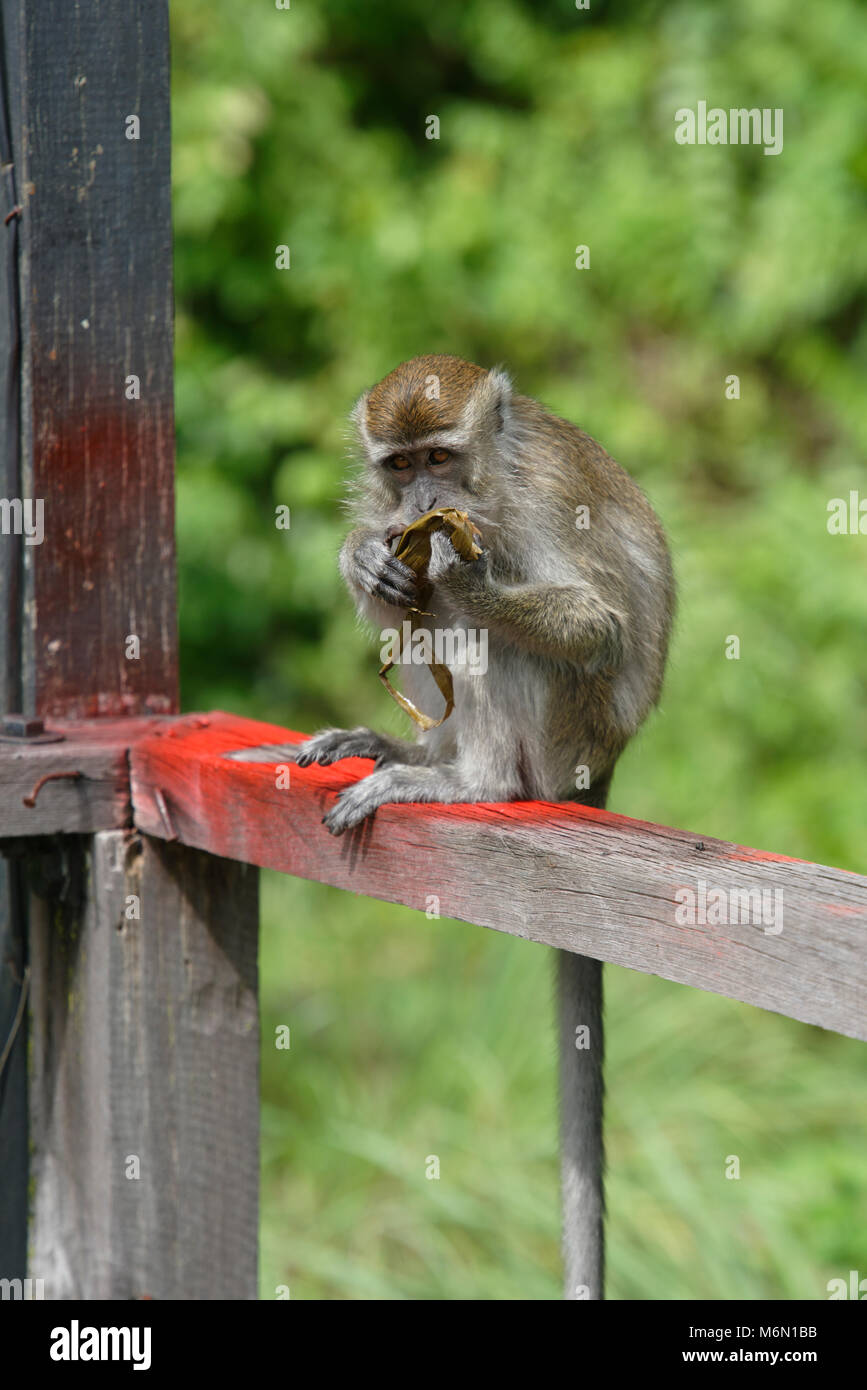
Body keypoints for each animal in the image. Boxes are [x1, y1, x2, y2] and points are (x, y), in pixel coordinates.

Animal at [284, 354, 675, 1298]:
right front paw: (363, 555)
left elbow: (594, 625)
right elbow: (397, 582)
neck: (492, 475)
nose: (421, 497)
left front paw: (466, 575)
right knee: (421, 623)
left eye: (440, 457)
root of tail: (602, 768)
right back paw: (413, 748)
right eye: (398, 466)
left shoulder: (536, 504)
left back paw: (469, 777)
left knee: (507, 642)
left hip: (568, 737)